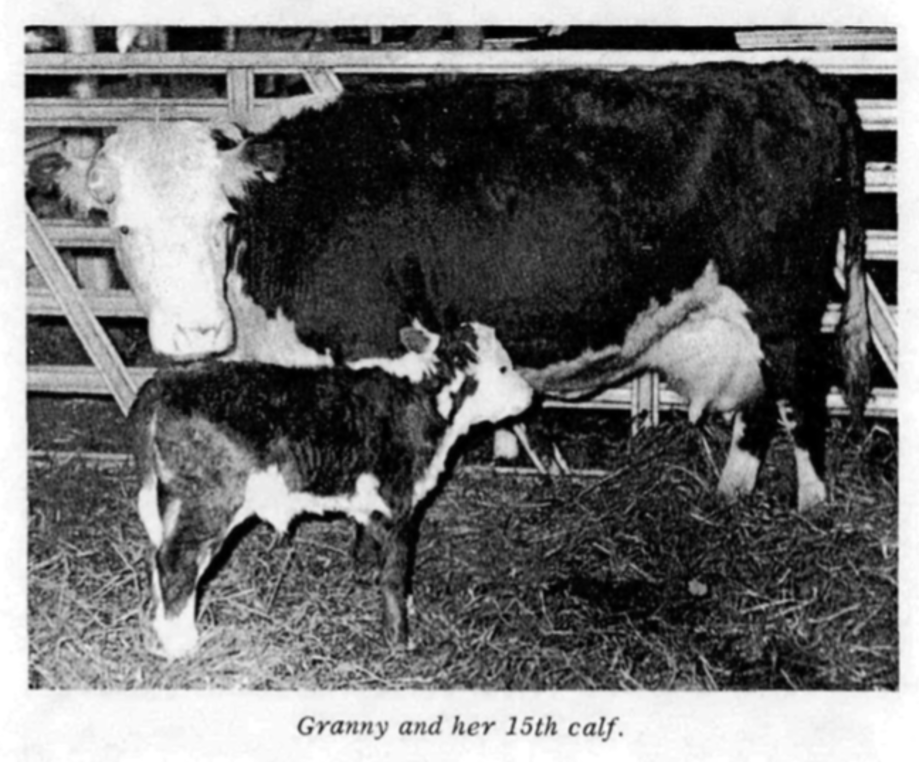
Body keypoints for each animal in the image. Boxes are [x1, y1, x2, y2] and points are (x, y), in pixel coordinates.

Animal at [43, 63, 870, 509]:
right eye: (123, 227)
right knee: (759, 405)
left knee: (803, 399)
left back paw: (812, 509)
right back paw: (732, 493)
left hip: (785, 305)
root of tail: (795, 77)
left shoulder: (374, 339)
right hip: (745, 319)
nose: (196, 332)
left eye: (221, 216)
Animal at [130, 321, 533, 658]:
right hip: (208, 502)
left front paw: (368, 579)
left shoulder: (371, 502)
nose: (531, 393)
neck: (423, 397)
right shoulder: (398, 501)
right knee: (176, 561)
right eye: (503, 368)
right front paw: (399, 637)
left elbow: (366, 542)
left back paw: (157, 636)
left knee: (156, 556)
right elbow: (395, 572)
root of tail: (165, 382)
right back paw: (182, 644)